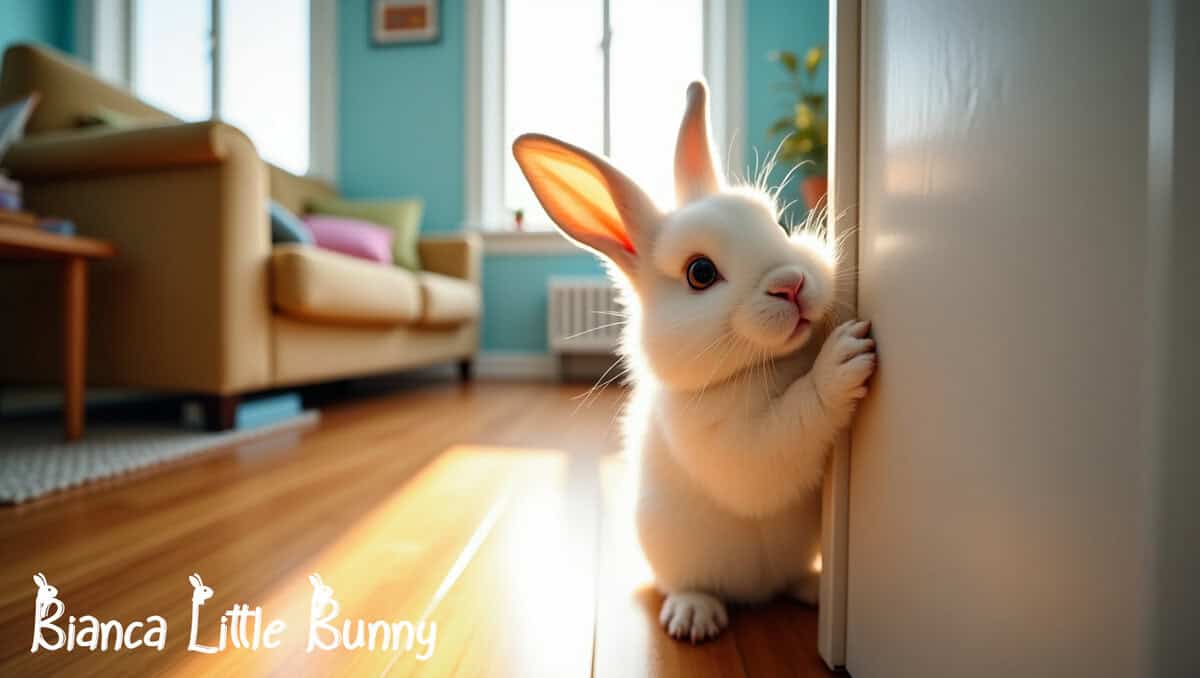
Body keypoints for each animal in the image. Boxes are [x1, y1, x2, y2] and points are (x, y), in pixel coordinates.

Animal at [512, 80, 875, 643]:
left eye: (780, 224)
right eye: (700, 273)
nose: (792, 284)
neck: (771, 366)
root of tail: (758, 592)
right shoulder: (731, 444)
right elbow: (790, 428)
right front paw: (843, 360)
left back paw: (814, 589)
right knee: (684, 585)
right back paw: (695, 617)